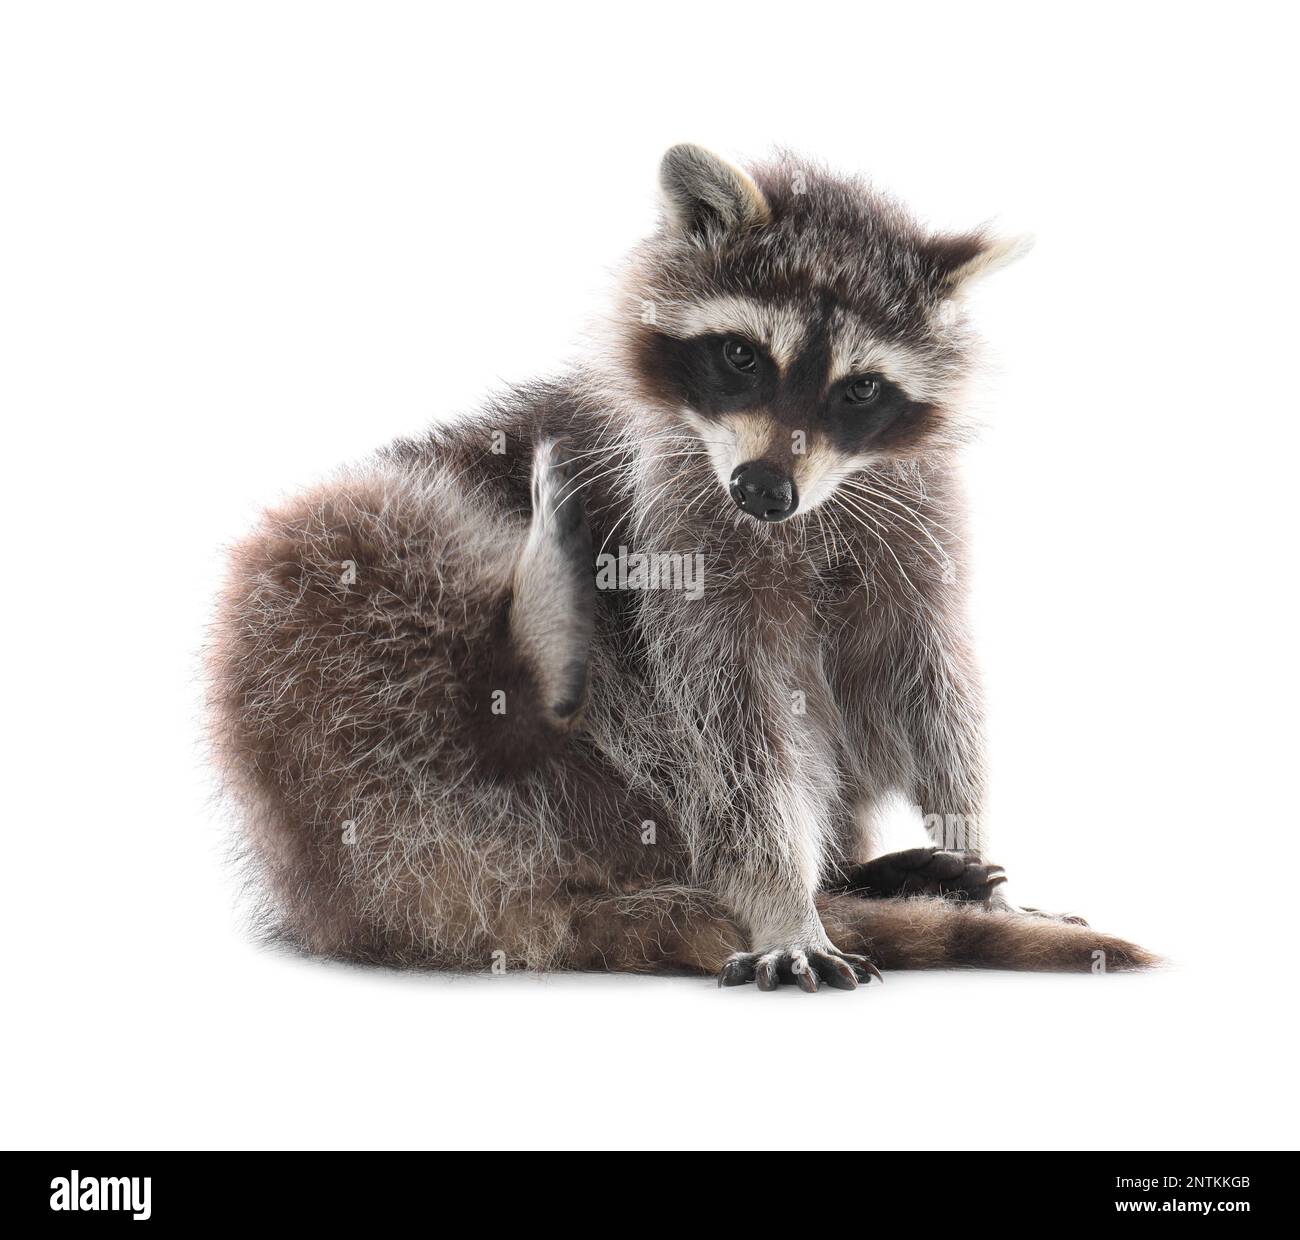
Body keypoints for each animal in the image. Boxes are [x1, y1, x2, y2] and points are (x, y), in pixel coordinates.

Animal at [208, 145, 1153, 990]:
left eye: (859, 389)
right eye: (742, 356)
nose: (764, 489)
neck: (806, 511)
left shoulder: (912, 534)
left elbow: (926, 691)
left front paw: (971, 842)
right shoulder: (669, 528)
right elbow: (729, 729)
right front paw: (781, 901)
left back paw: (868, 876)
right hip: (339, 691)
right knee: (344, 547)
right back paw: (537, 648)